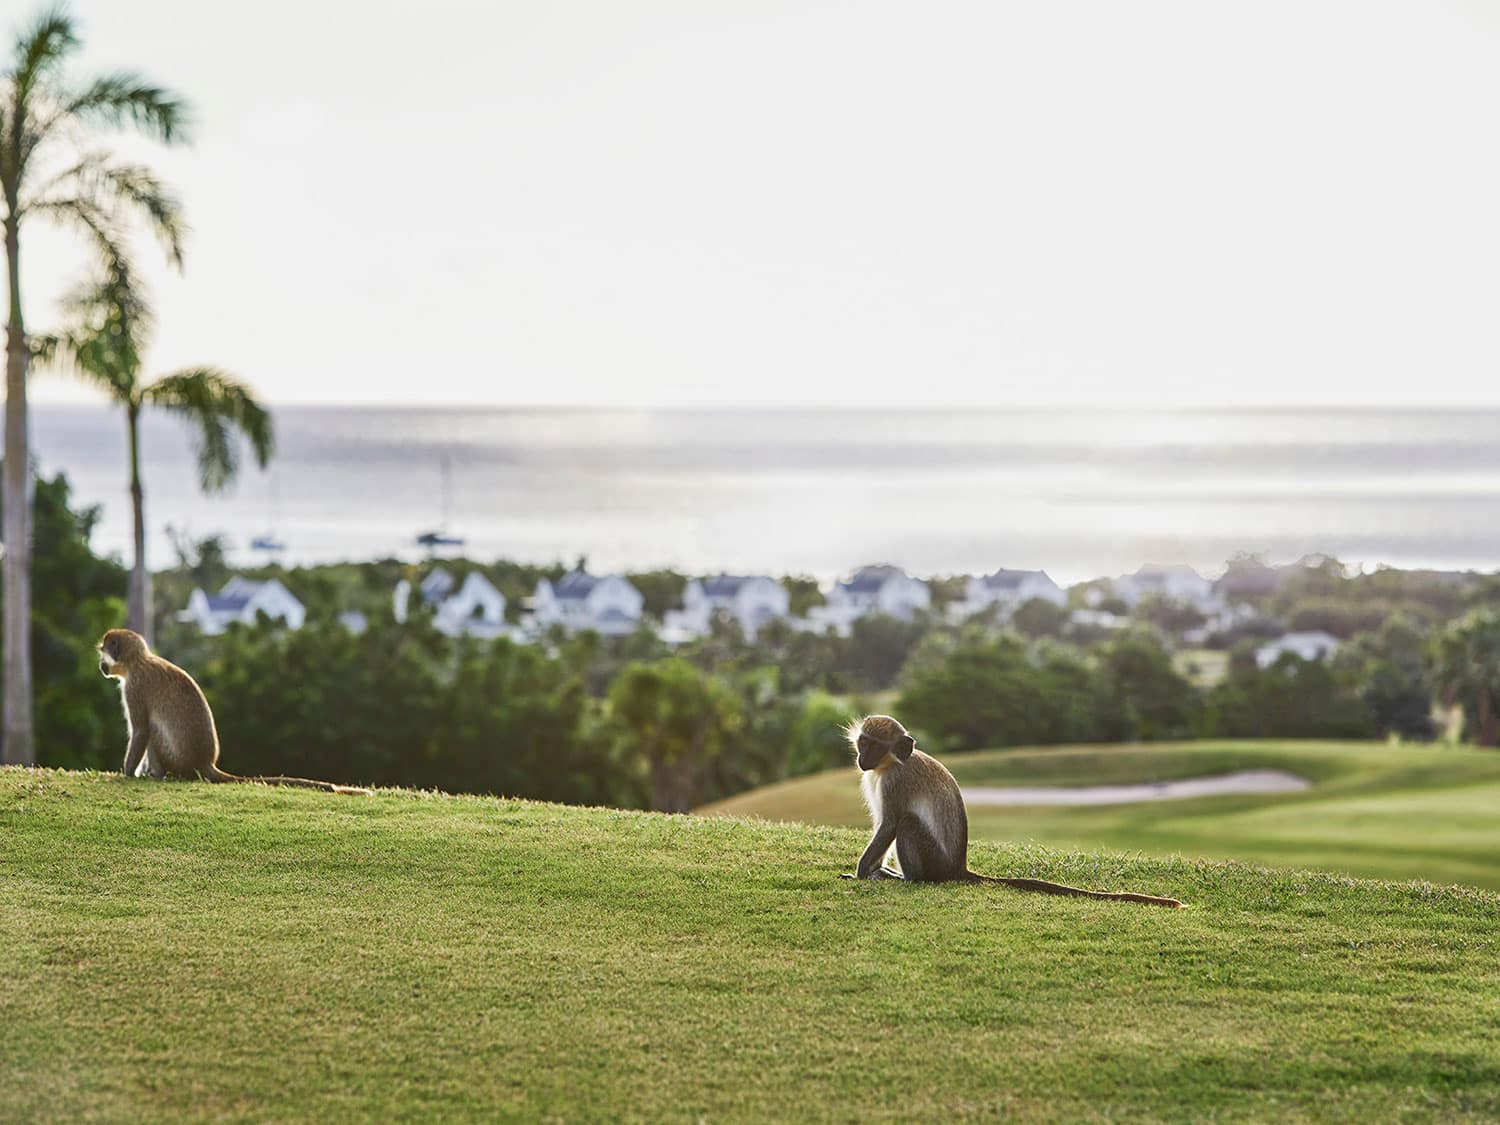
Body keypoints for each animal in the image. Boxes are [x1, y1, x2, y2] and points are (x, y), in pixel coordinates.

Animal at [97, 629, 370, 795]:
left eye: (104, 652)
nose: (101, 666)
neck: (138, 661)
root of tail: (204, 761)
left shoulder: (134, 687)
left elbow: (141, 731)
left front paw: (127, 774)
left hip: (176, 759)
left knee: (153, 734)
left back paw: (158, 775)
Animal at [840, 715, 1183, 908]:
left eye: (875, 745)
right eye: (863, 742)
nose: (862, 759)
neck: (892, 764)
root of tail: (957, 868)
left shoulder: (896, 782)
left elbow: (889, 825)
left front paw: (862, 873)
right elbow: (881, 826)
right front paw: (873, 870)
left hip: (932, 859)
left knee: (908, 823)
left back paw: (908, 879)